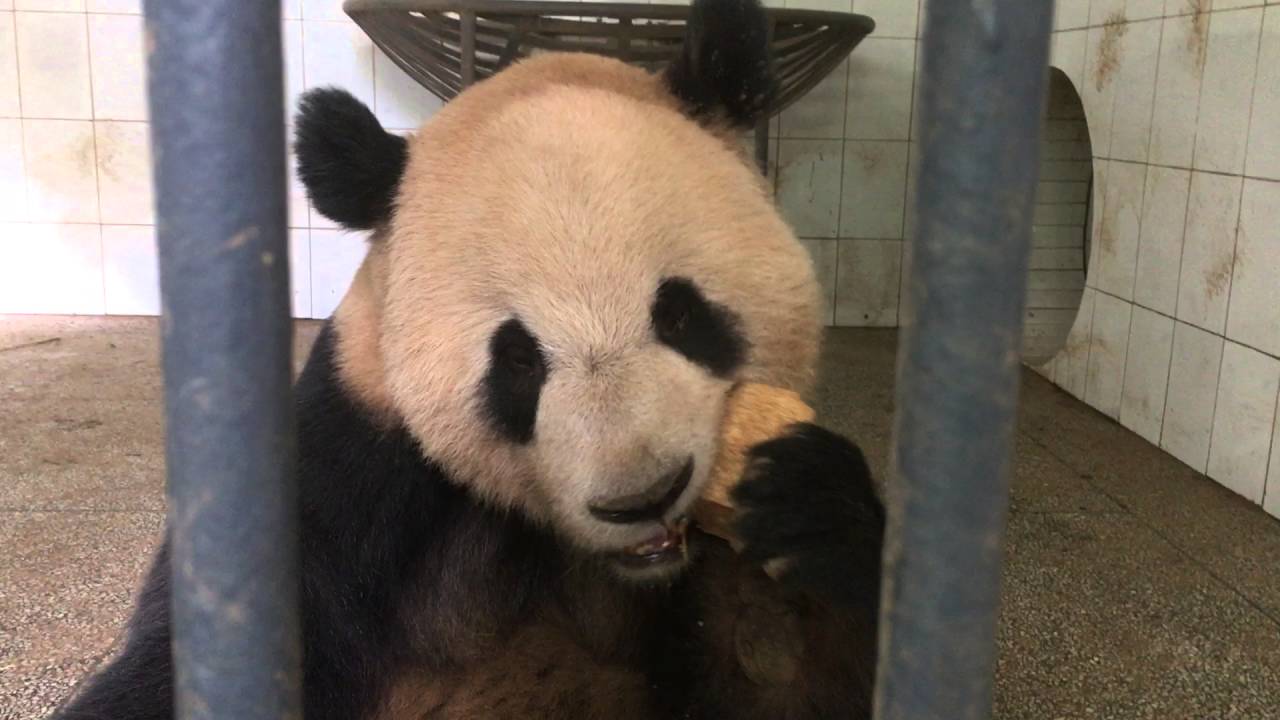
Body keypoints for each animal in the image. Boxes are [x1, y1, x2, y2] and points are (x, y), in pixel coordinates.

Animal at [51, 0, 885, 718]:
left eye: (679, 313)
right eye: (517, 360)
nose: (642, 496)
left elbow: (788, 674)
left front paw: (808, 504)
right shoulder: (355, 447)